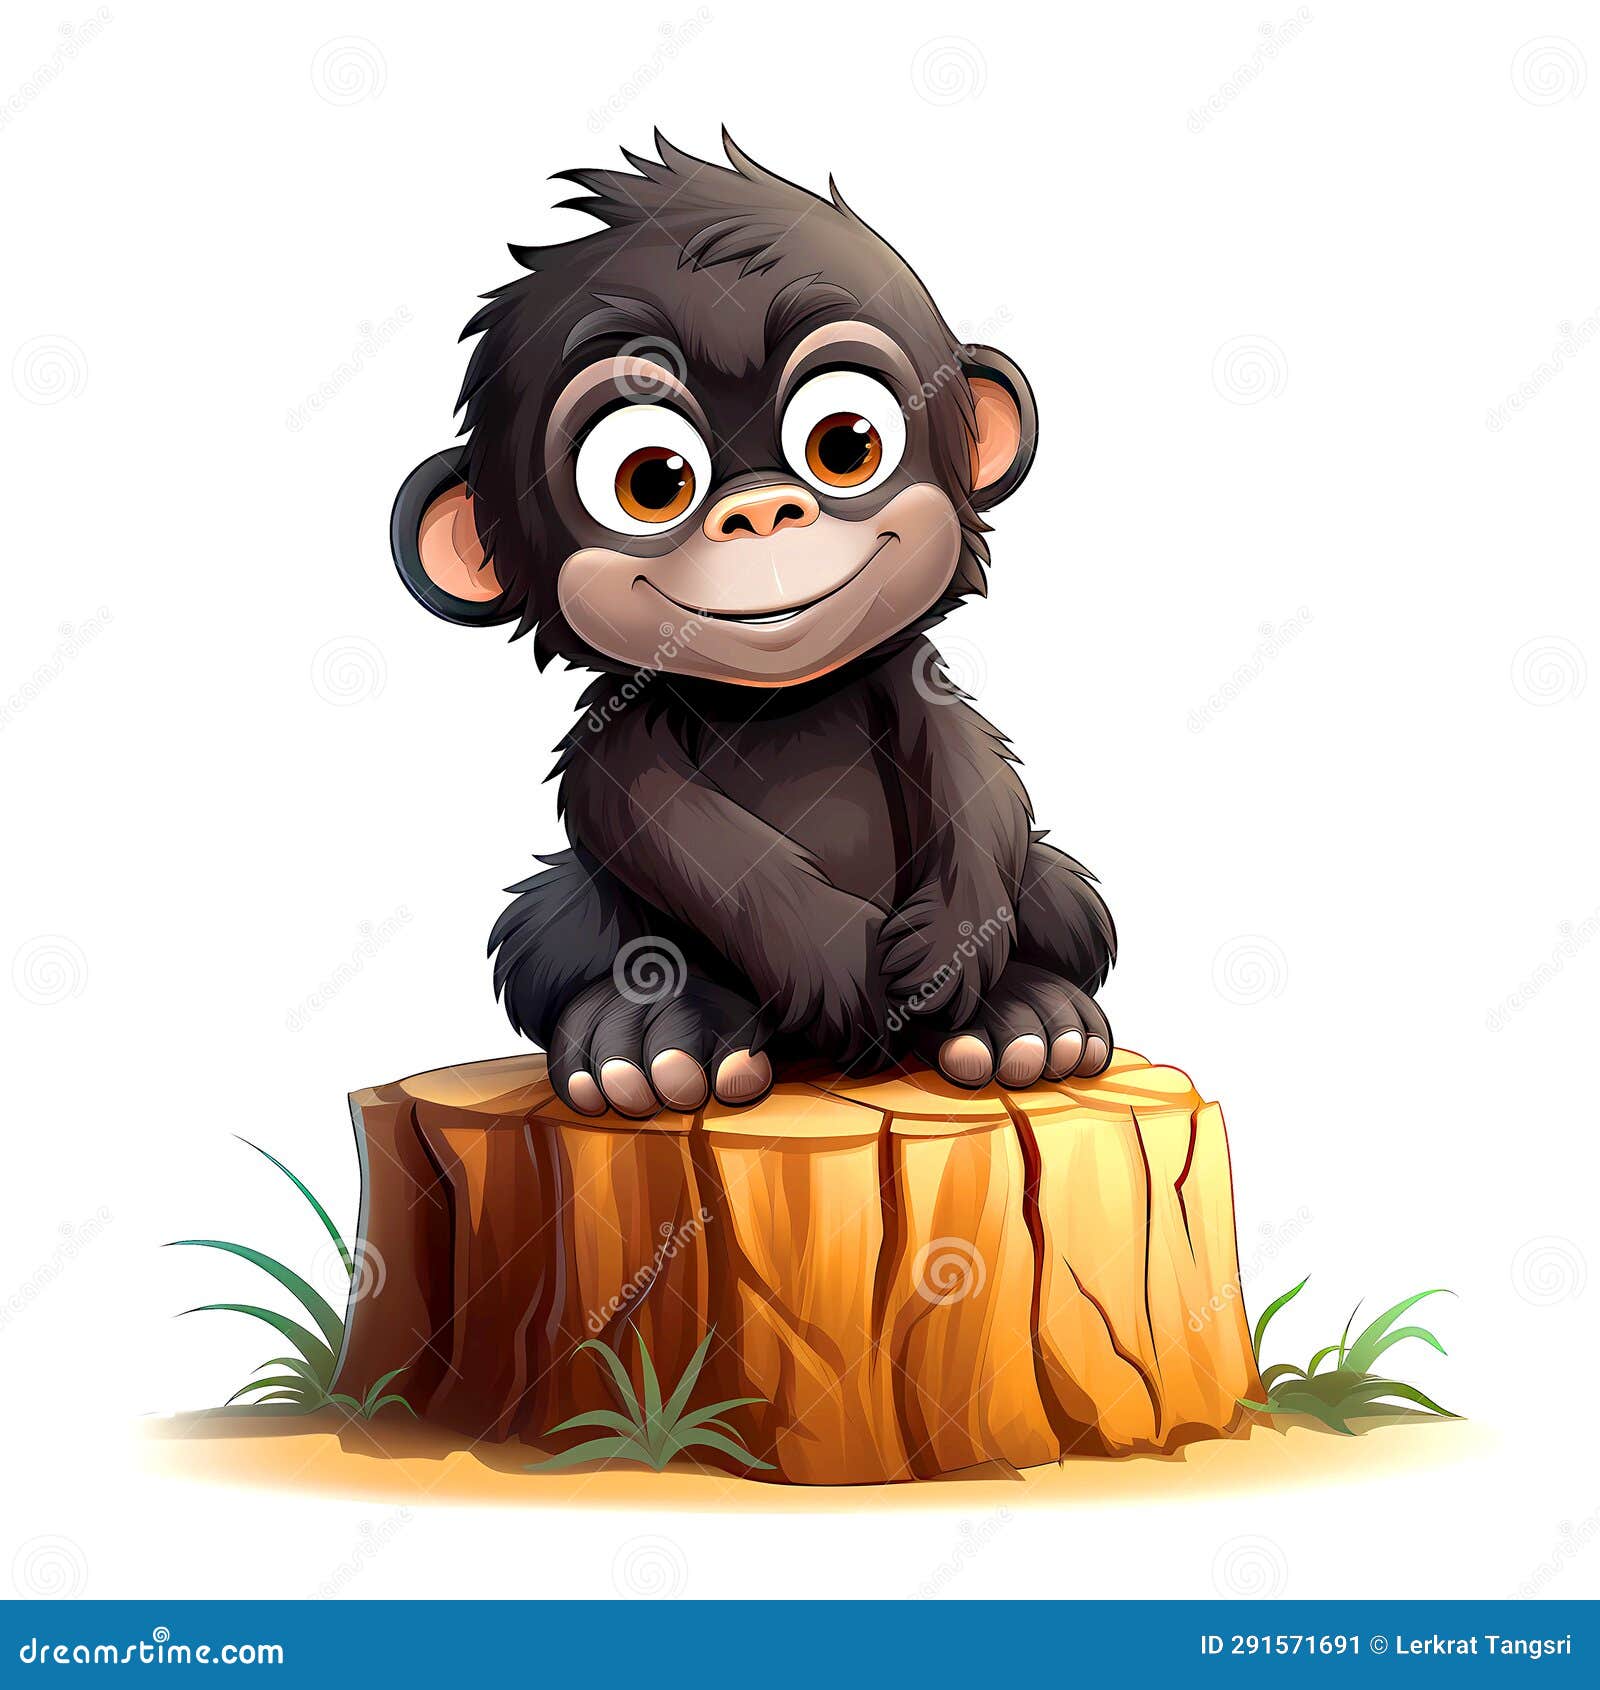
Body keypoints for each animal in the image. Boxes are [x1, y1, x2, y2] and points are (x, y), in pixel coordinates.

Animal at [390, 132, 1115, 1119]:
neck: (778, 703)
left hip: (1053, 898)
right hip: (576, 926)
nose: (762, 512)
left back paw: (1031, 1021)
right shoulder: (620, 725)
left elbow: (972, 774)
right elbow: (651, 818)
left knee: (1060, 892)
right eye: (653, 482)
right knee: (555, 922)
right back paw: (645, 1038)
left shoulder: (907, 673)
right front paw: (834, 957)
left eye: (845, 444)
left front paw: (949, 947)